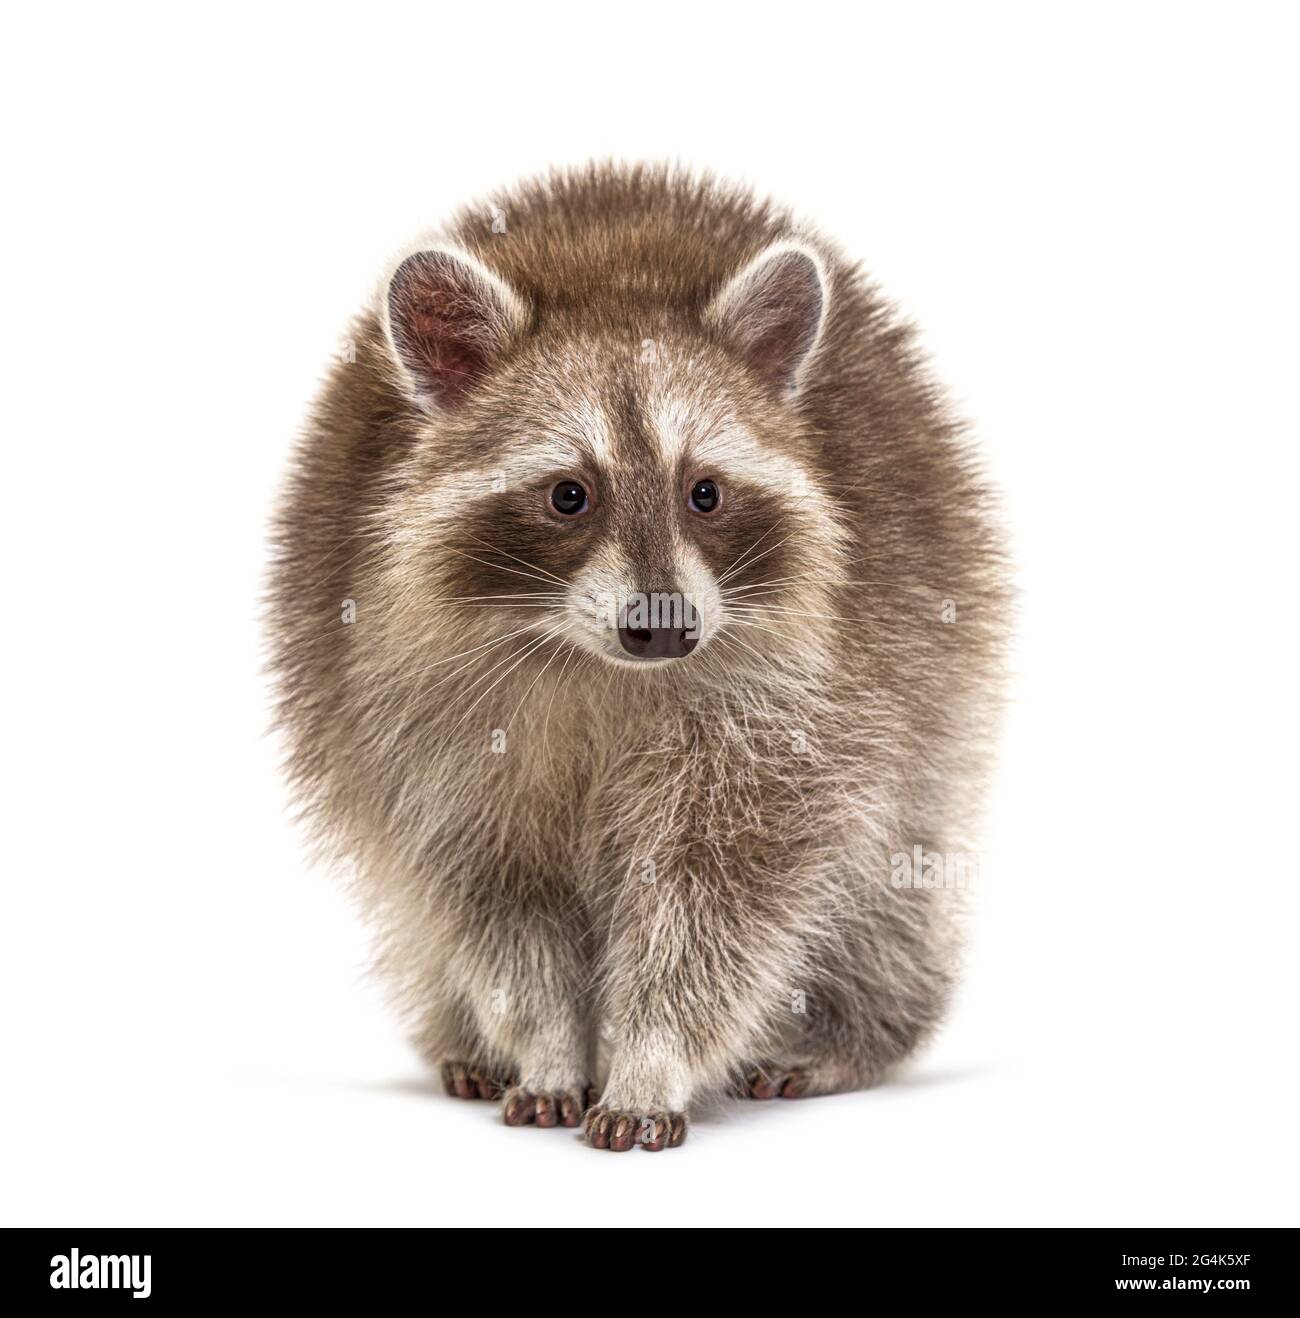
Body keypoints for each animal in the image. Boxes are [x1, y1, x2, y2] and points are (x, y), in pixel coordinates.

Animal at [268, 163, 1008, 1152]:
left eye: (706, 492)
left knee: (885, 881)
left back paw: (855, 1029)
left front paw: (649, 1060)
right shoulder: (412, 712)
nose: (665, 629)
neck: (599, 664)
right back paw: (468, 1040)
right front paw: (546, 1047)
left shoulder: (808, 697)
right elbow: (495, 899)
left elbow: (719, 898)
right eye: (569, 495)